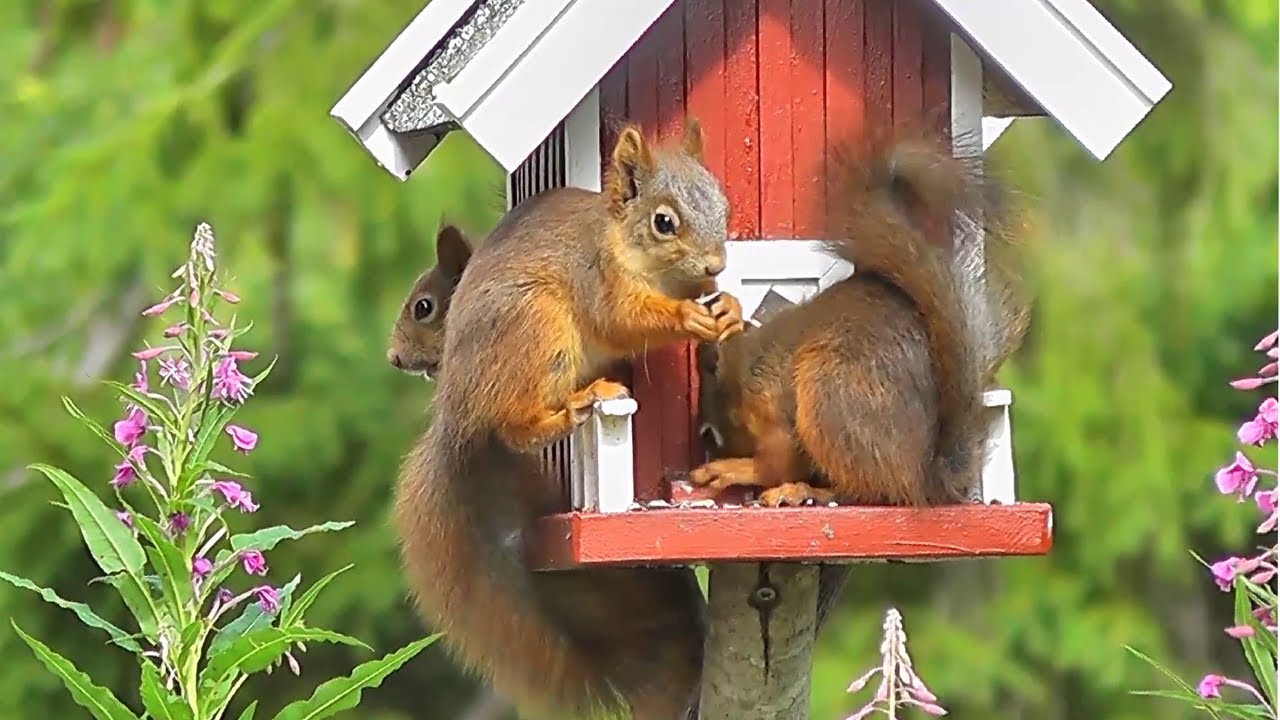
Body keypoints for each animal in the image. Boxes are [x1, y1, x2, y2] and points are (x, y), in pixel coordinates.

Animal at [690, 128, 1030, 511]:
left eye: (710, 435)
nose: (709, 449)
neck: (743, 363)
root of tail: (924, 480)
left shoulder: (773, 411)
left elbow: (775, 463)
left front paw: (729, 470)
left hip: (830, 398)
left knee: (865, 491)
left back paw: (803, 491)